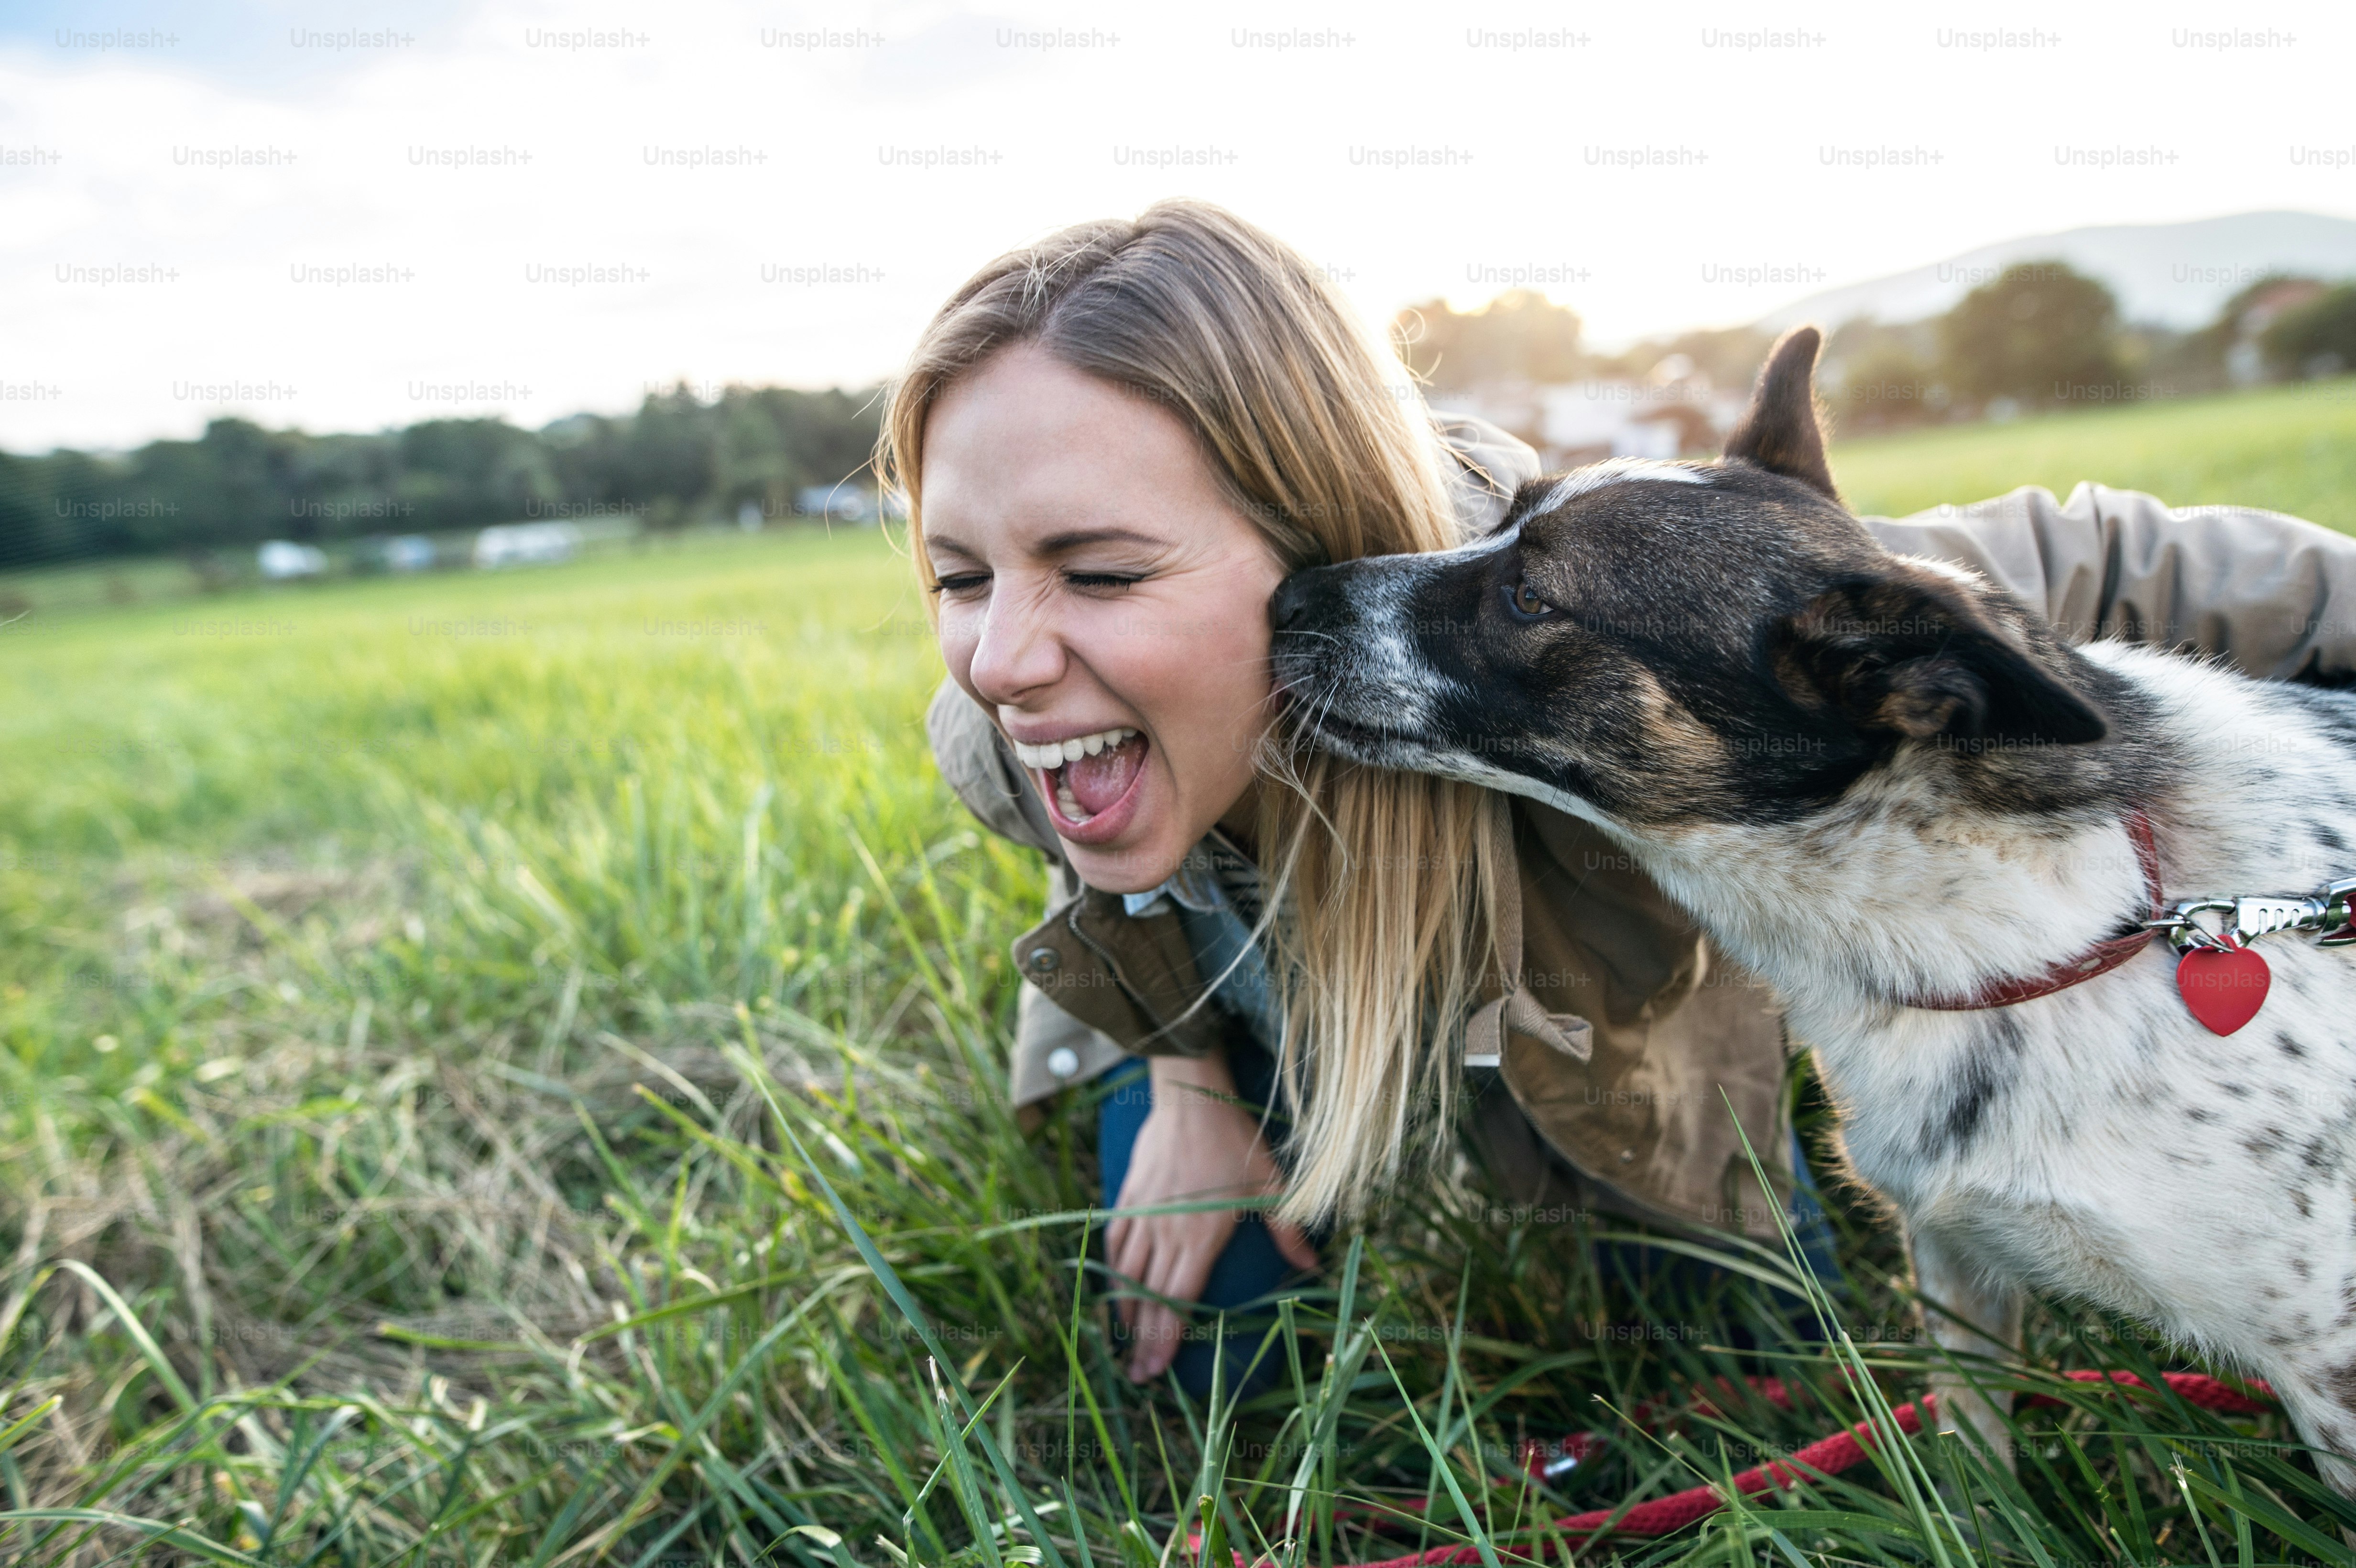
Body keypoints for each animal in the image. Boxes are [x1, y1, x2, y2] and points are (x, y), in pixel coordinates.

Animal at [1281, 329, 2356, 1478]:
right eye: (1497, 518)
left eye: (1529, 595)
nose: (1285, 598)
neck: (2093, 917)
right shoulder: (1955, 1264)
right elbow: (1975, 1473)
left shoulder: (2331, 1371)